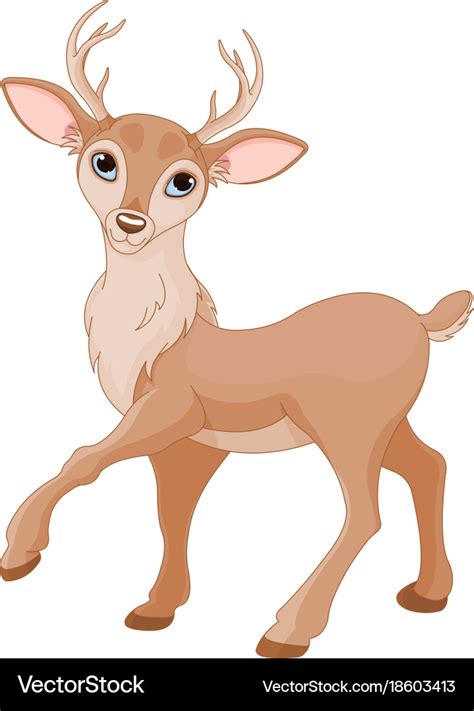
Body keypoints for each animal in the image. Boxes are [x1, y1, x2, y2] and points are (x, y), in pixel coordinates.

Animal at [0, 1, 471, 658]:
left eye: (184, 180)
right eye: (102, 160)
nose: (130, 222)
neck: (158, 340)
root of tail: (423, 321)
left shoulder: (172, 407)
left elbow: (85, 456)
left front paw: (20, 552)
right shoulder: (192, 442)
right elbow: (172, 511)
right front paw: (155, 609)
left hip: (346, 423)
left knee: (364, 510)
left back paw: (287, 629)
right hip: (391, 419)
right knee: (431, 465)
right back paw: (427, 595)